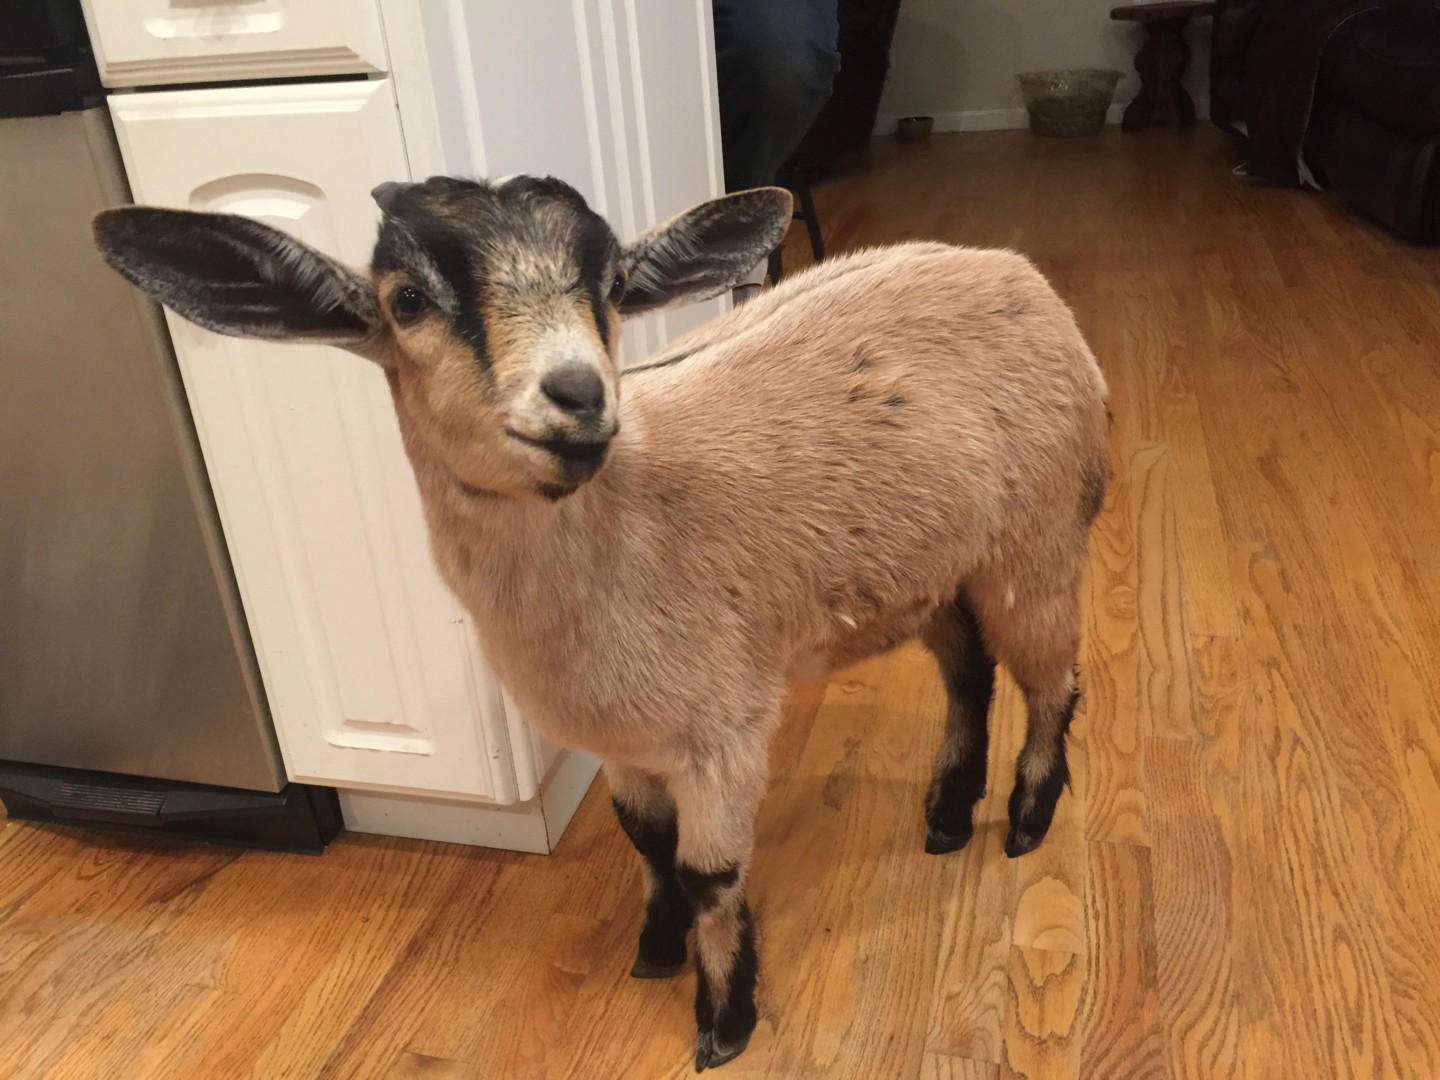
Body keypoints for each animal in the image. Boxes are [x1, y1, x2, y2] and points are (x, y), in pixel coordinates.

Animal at [93, 175, 1109, 1071]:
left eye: (614, 285)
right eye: (407, 299)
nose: (580, 396)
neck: (622, 528)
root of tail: (1010, 270)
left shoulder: (725, 731)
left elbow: (709, 875)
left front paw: (724, 1022)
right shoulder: (619, 741)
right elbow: (647, 846)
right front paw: (654, 954)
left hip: (1039, 534)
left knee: (1053, 680)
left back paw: (1025, 820)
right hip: (936, 570)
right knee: (969, 672)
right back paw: (946, 815)